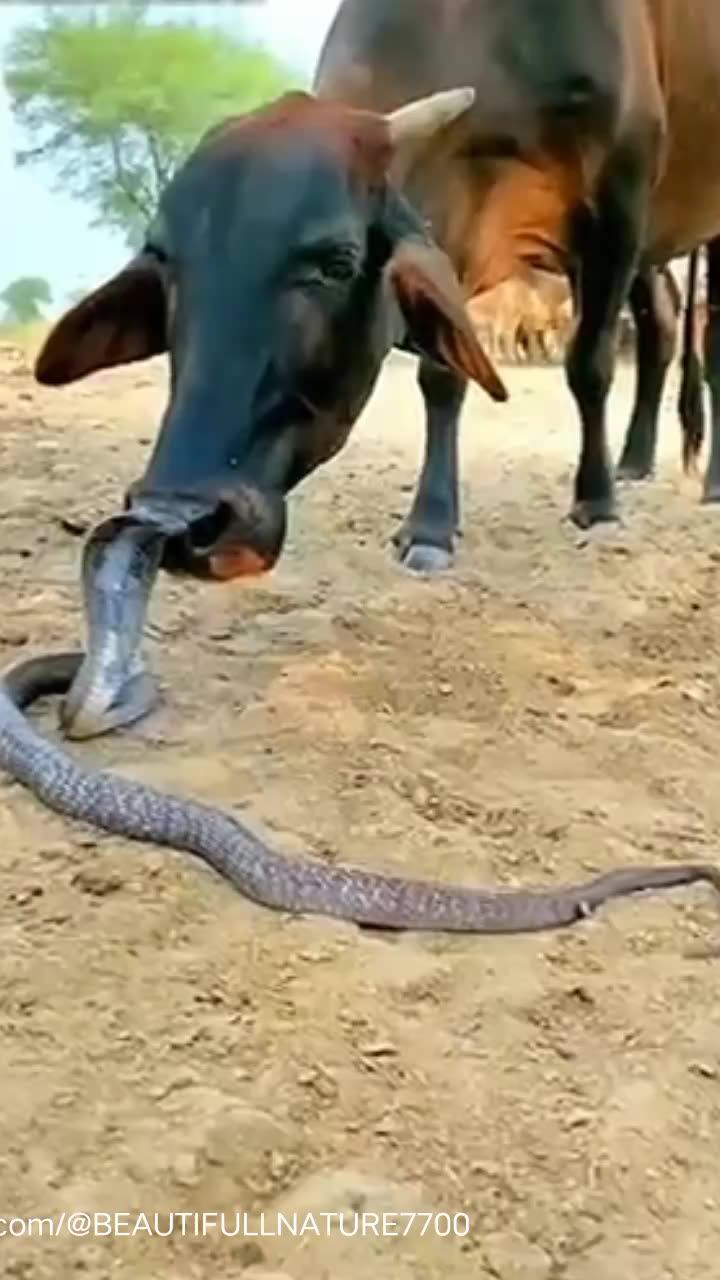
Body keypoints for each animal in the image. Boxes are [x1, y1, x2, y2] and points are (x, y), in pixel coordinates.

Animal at [311, 0, 720, 570]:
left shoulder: (619, 203)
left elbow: (589, 365)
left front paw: (596, 502)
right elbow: (442, 376)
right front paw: (431, 524)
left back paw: (711, 484)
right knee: (660, 324)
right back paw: (634, 460)